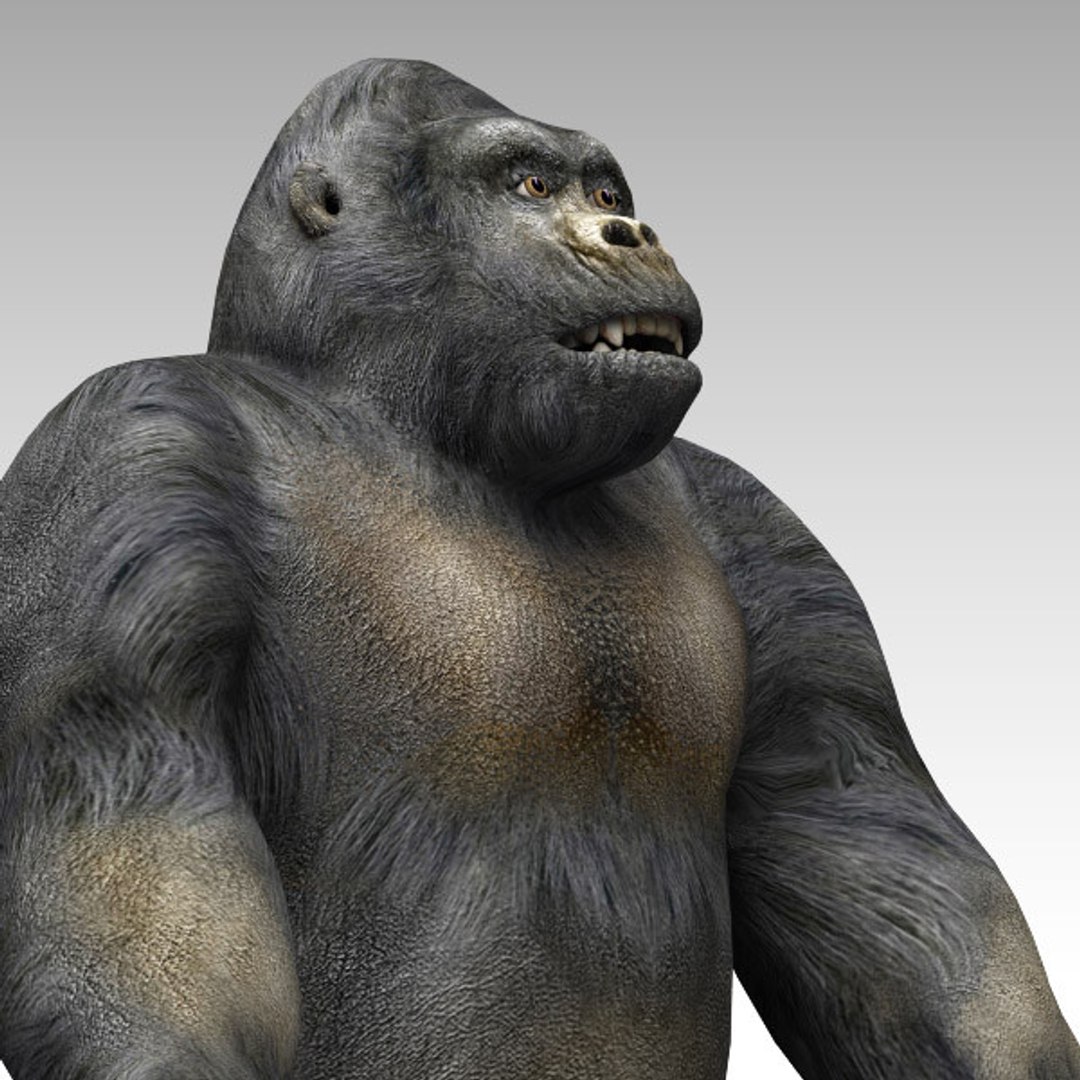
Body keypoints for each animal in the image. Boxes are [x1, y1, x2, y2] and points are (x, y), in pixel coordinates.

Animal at [0, 58, 1076, 1079]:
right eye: (529, 184)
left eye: (604, 190)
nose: (629, 230)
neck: (412, 413)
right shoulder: (125, 448)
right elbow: (129, 819)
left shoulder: (752, 520)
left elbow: (855, 830)